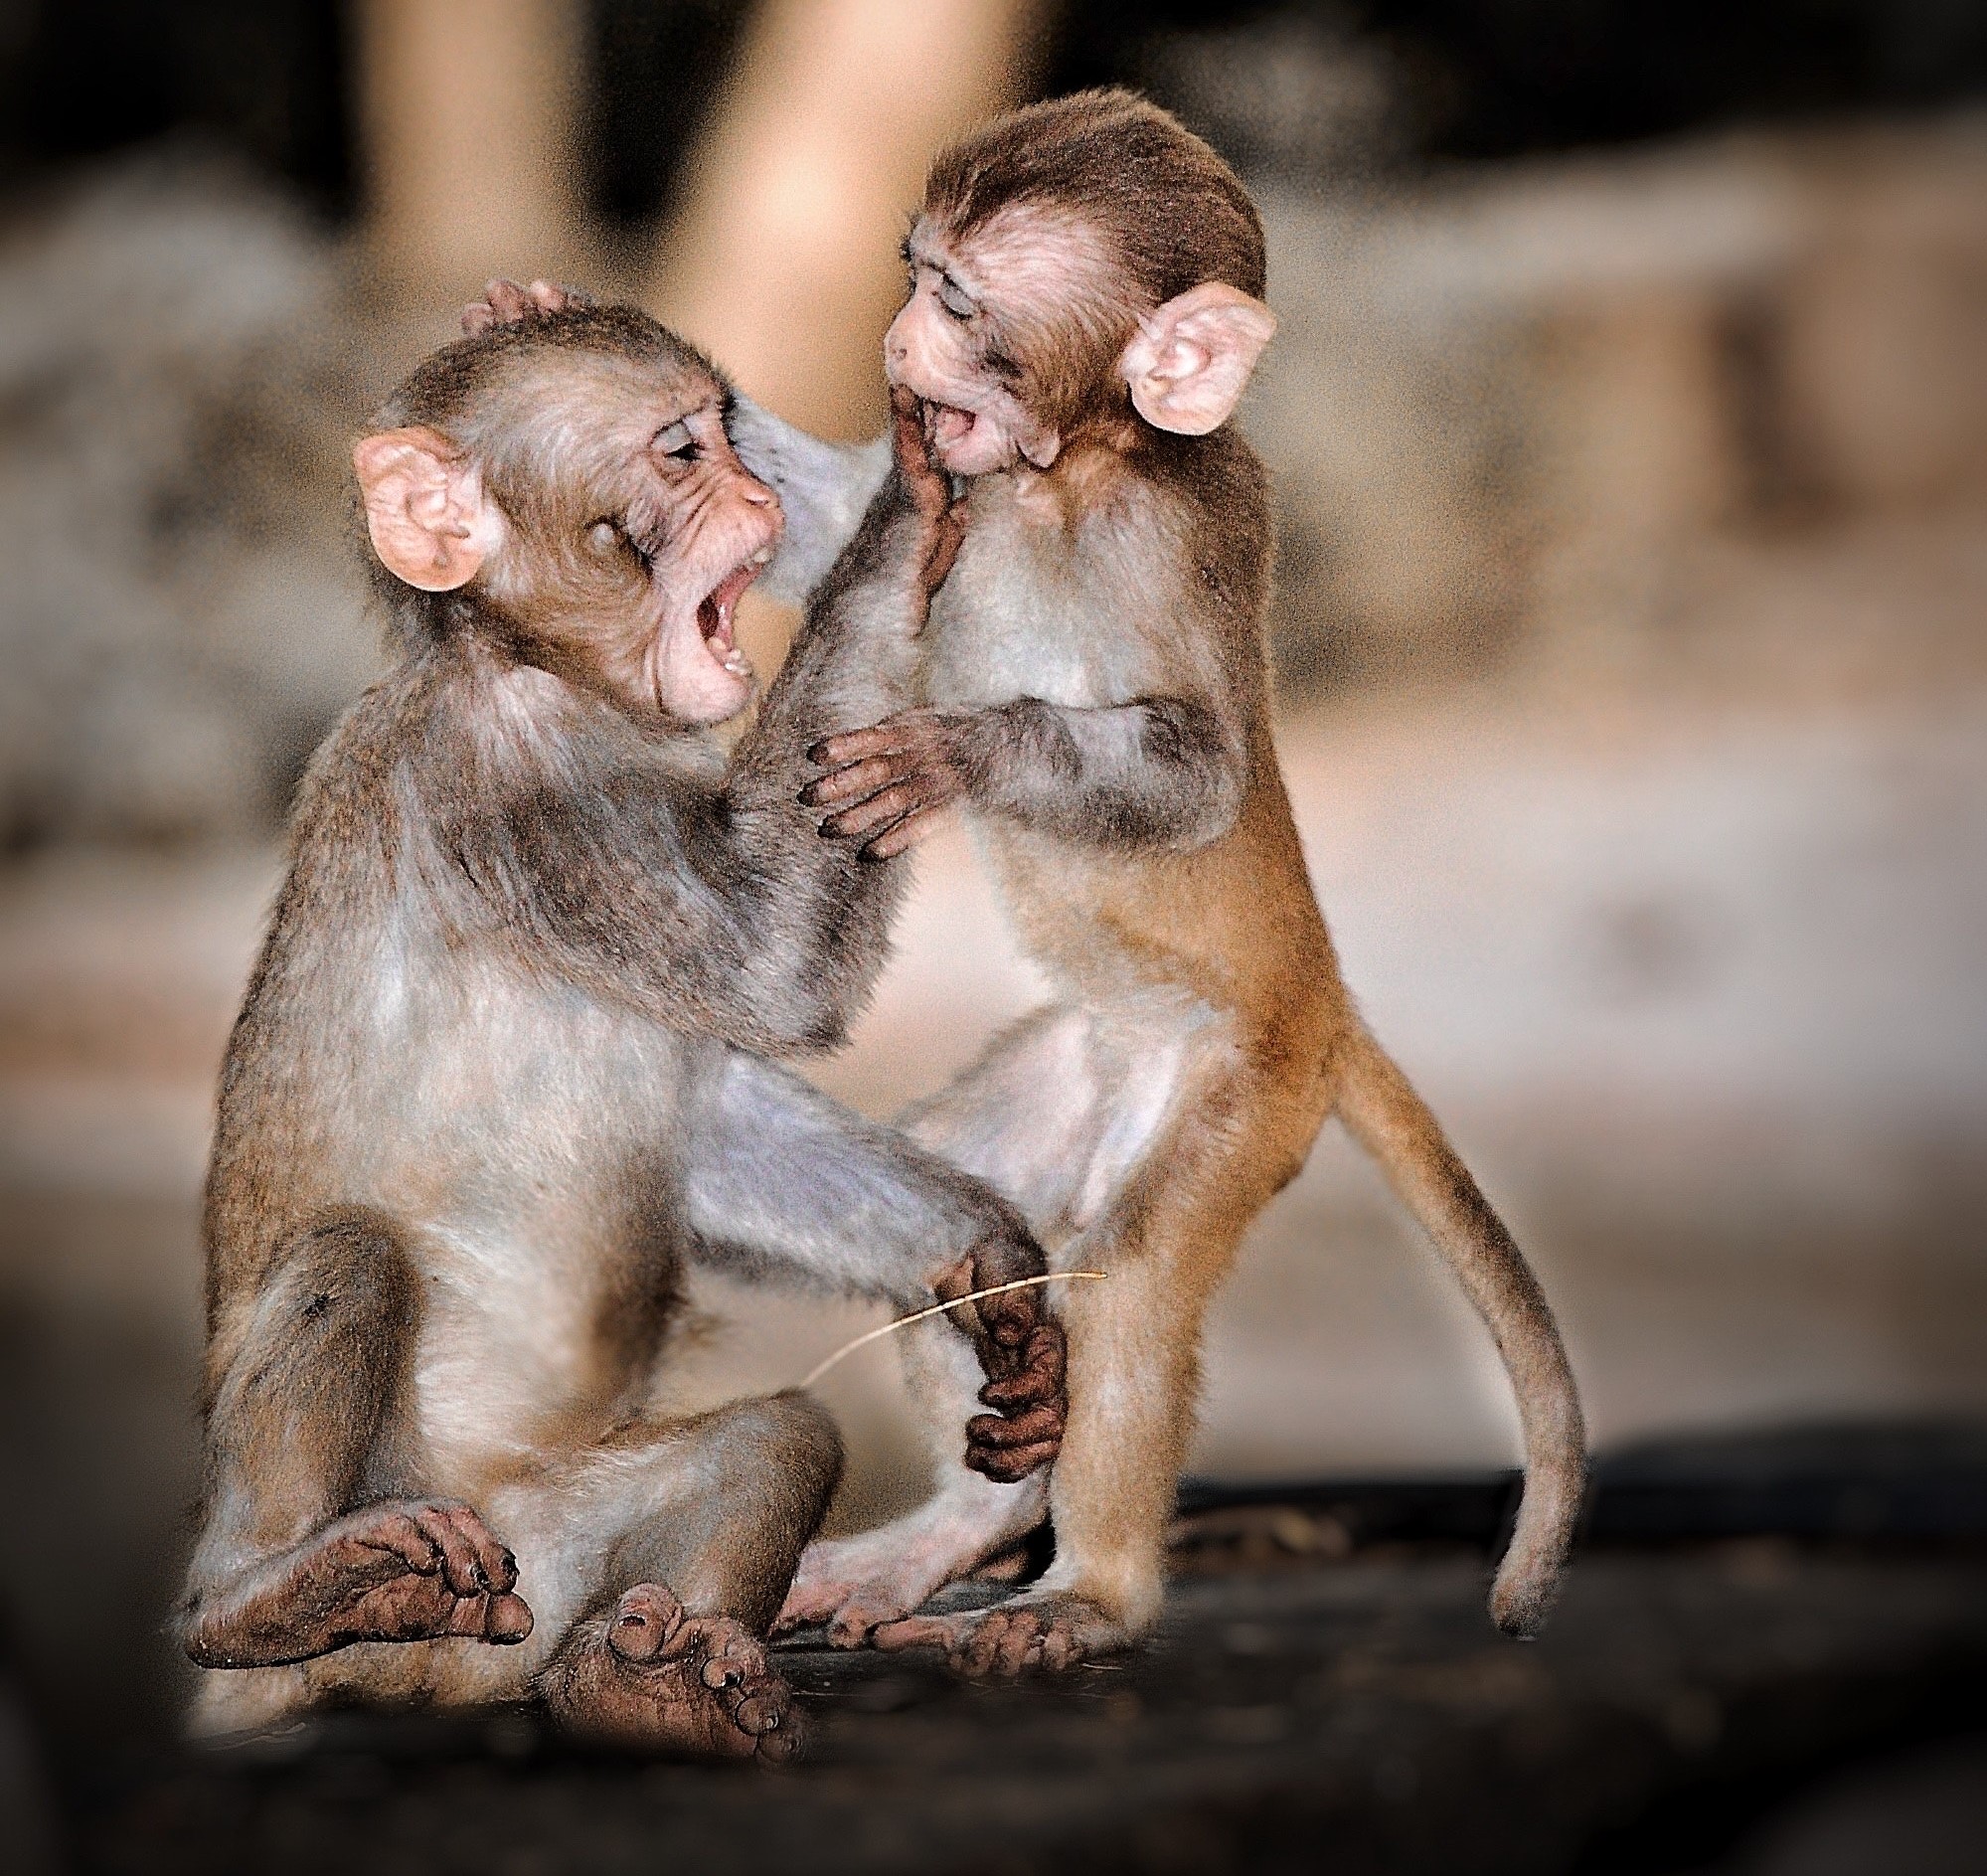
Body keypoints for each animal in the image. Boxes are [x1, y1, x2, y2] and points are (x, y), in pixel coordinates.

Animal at [176, 296, 1067, 1759]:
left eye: (723, 436)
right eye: (679, 452)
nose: (758, 493)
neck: (535, 667)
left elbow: (704, 1128)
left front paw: (989, 1259)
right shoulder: (511, 777)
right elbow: (767, 967)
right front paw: (917, 498)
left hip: (528, 1563)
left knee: (771, 1443)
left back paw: (642, 1678)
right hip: (402, 1542)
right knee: (352, 1258)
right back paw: (276, 1596)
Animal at [678, 90, 1587, 1679]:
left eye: (955, 301)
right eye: (913, 272)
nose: (895, 351)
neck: (1067, 475)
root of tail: (1326, 996)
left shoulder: (1185, 532)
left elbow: (1196, 769)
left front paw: (956, 753)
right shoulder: (963, 497)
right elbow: (847, 516)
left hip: (1239, 1090)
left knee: (1129, 1273)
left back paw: (1088, 1589)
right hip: (1084, 1068)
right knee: (972, 1242)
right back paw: (960, 1527)